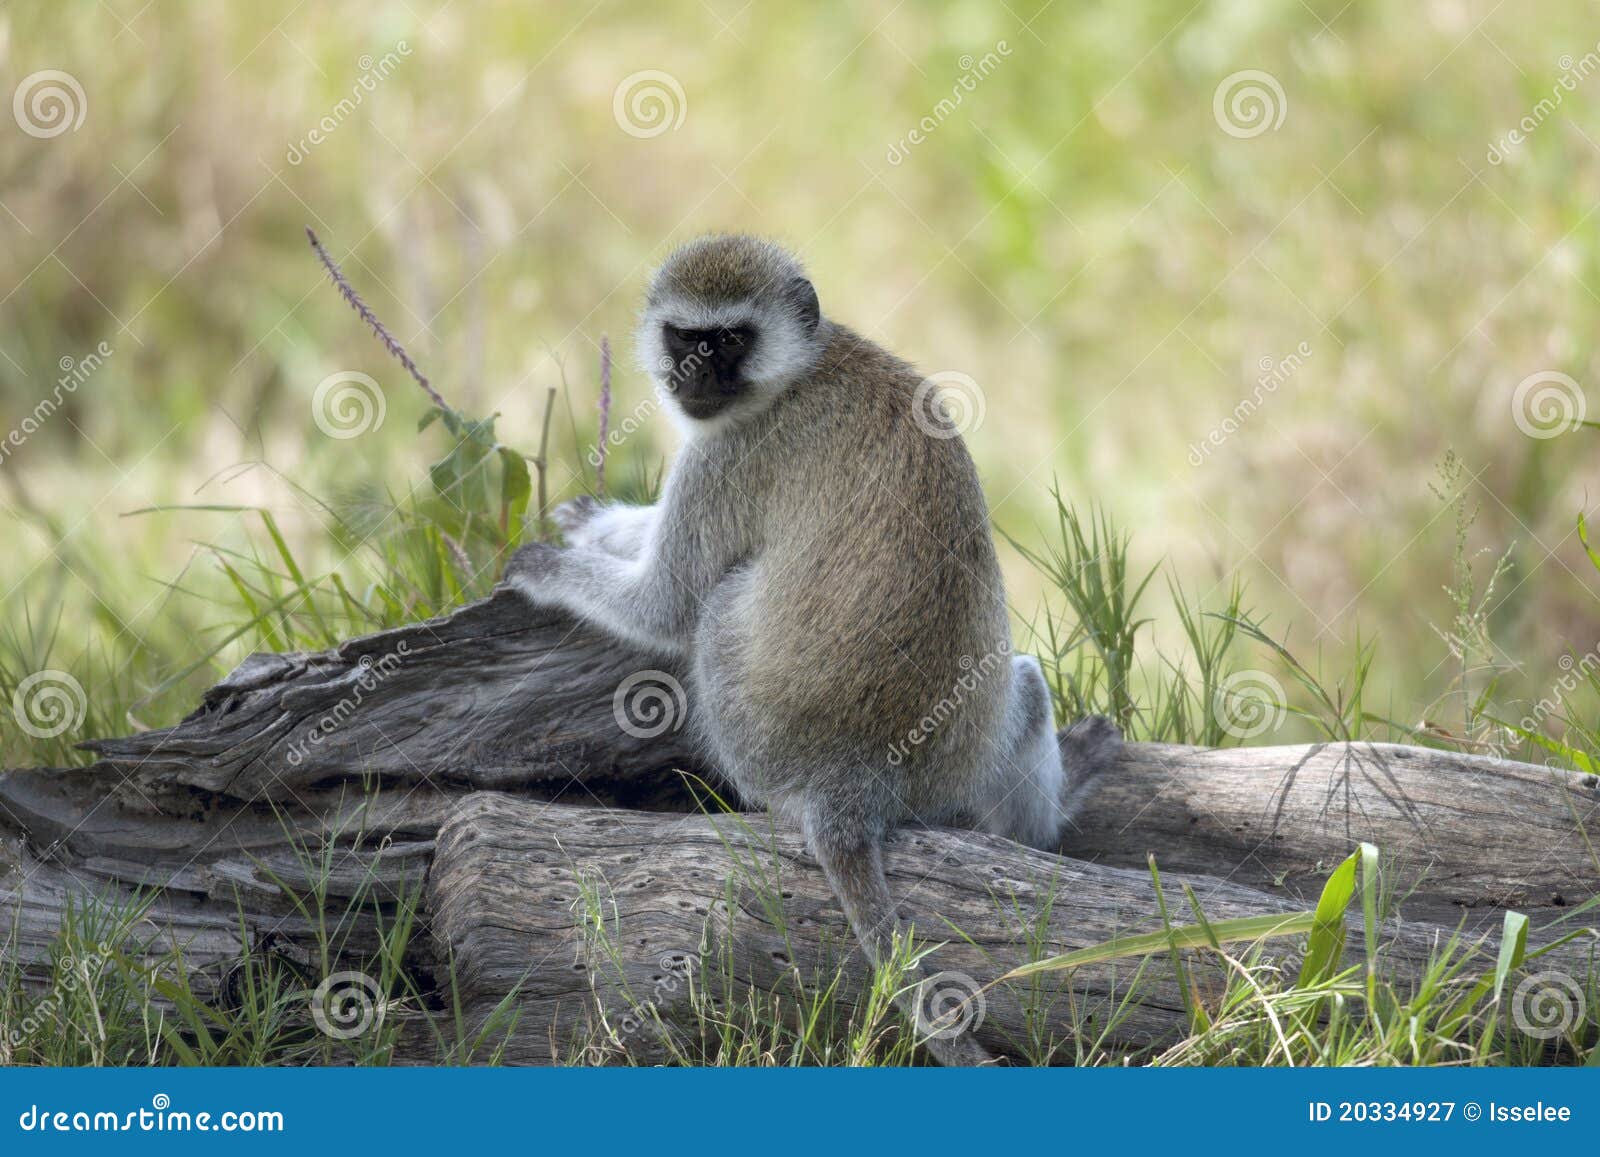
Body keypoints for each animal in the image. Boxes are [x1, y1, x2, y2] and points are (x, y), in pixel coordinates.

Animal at [504, 234, 1122, 1065]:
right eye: (686, 337)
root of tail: (853, 776)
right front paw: (601, 519)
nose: (693, 378)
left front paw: (548, 565)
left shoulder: (729, 456)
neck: (802, 366)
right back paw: (1044, 818)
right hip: (955, 762)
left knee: (714, 610)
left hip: (759, 745)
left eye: (730, 339)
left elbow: (663, 604)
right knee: (1022, 688)